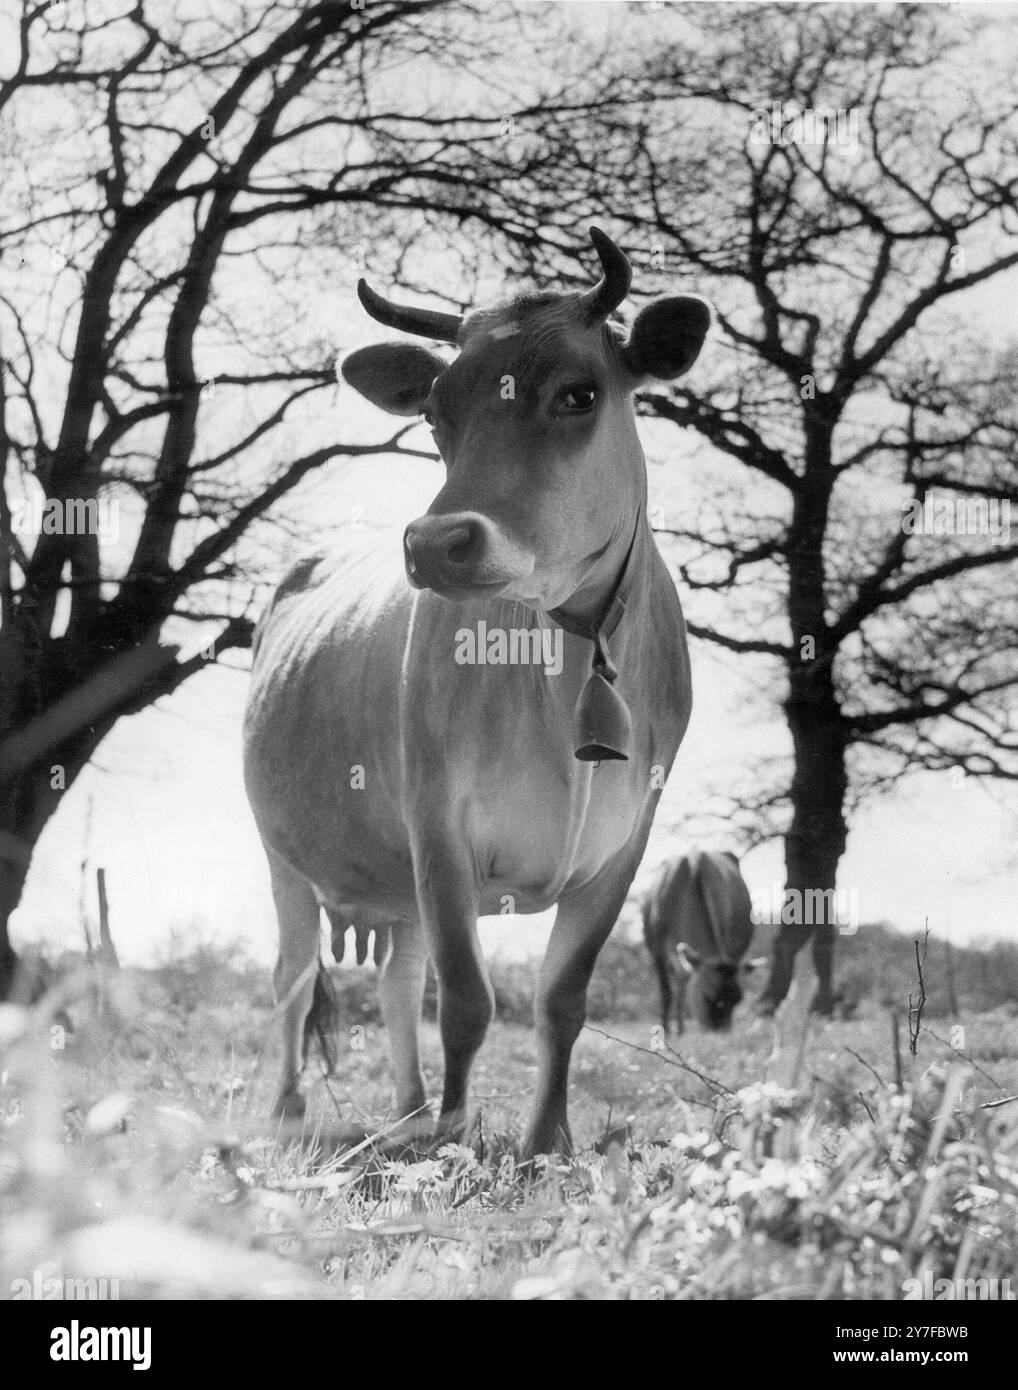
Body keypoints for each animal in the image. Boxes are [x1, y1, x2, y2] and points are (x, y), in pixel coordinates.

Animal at [243, 227, 711, 1156]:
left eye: (579, 393)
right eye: (434, 413)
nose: (435, 543)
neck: (572, 654)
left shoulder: (628, 840)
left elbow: (562, 999)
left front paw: (546, 1142)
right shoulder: (437, 822)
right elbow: (464, 999)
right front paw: (456, 1143)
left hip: (396, 883)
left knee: (395, 978)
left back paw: (409, 1108)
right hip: (284, 854)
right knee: (295, 976)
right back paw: (295, 1110)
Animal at [642, 850, 761, 1034]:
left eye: (738, 999)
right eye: (707, 996)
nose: (720, 1034)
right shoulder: (657, 949)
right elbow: (666, 992)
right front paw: (666, 1032)